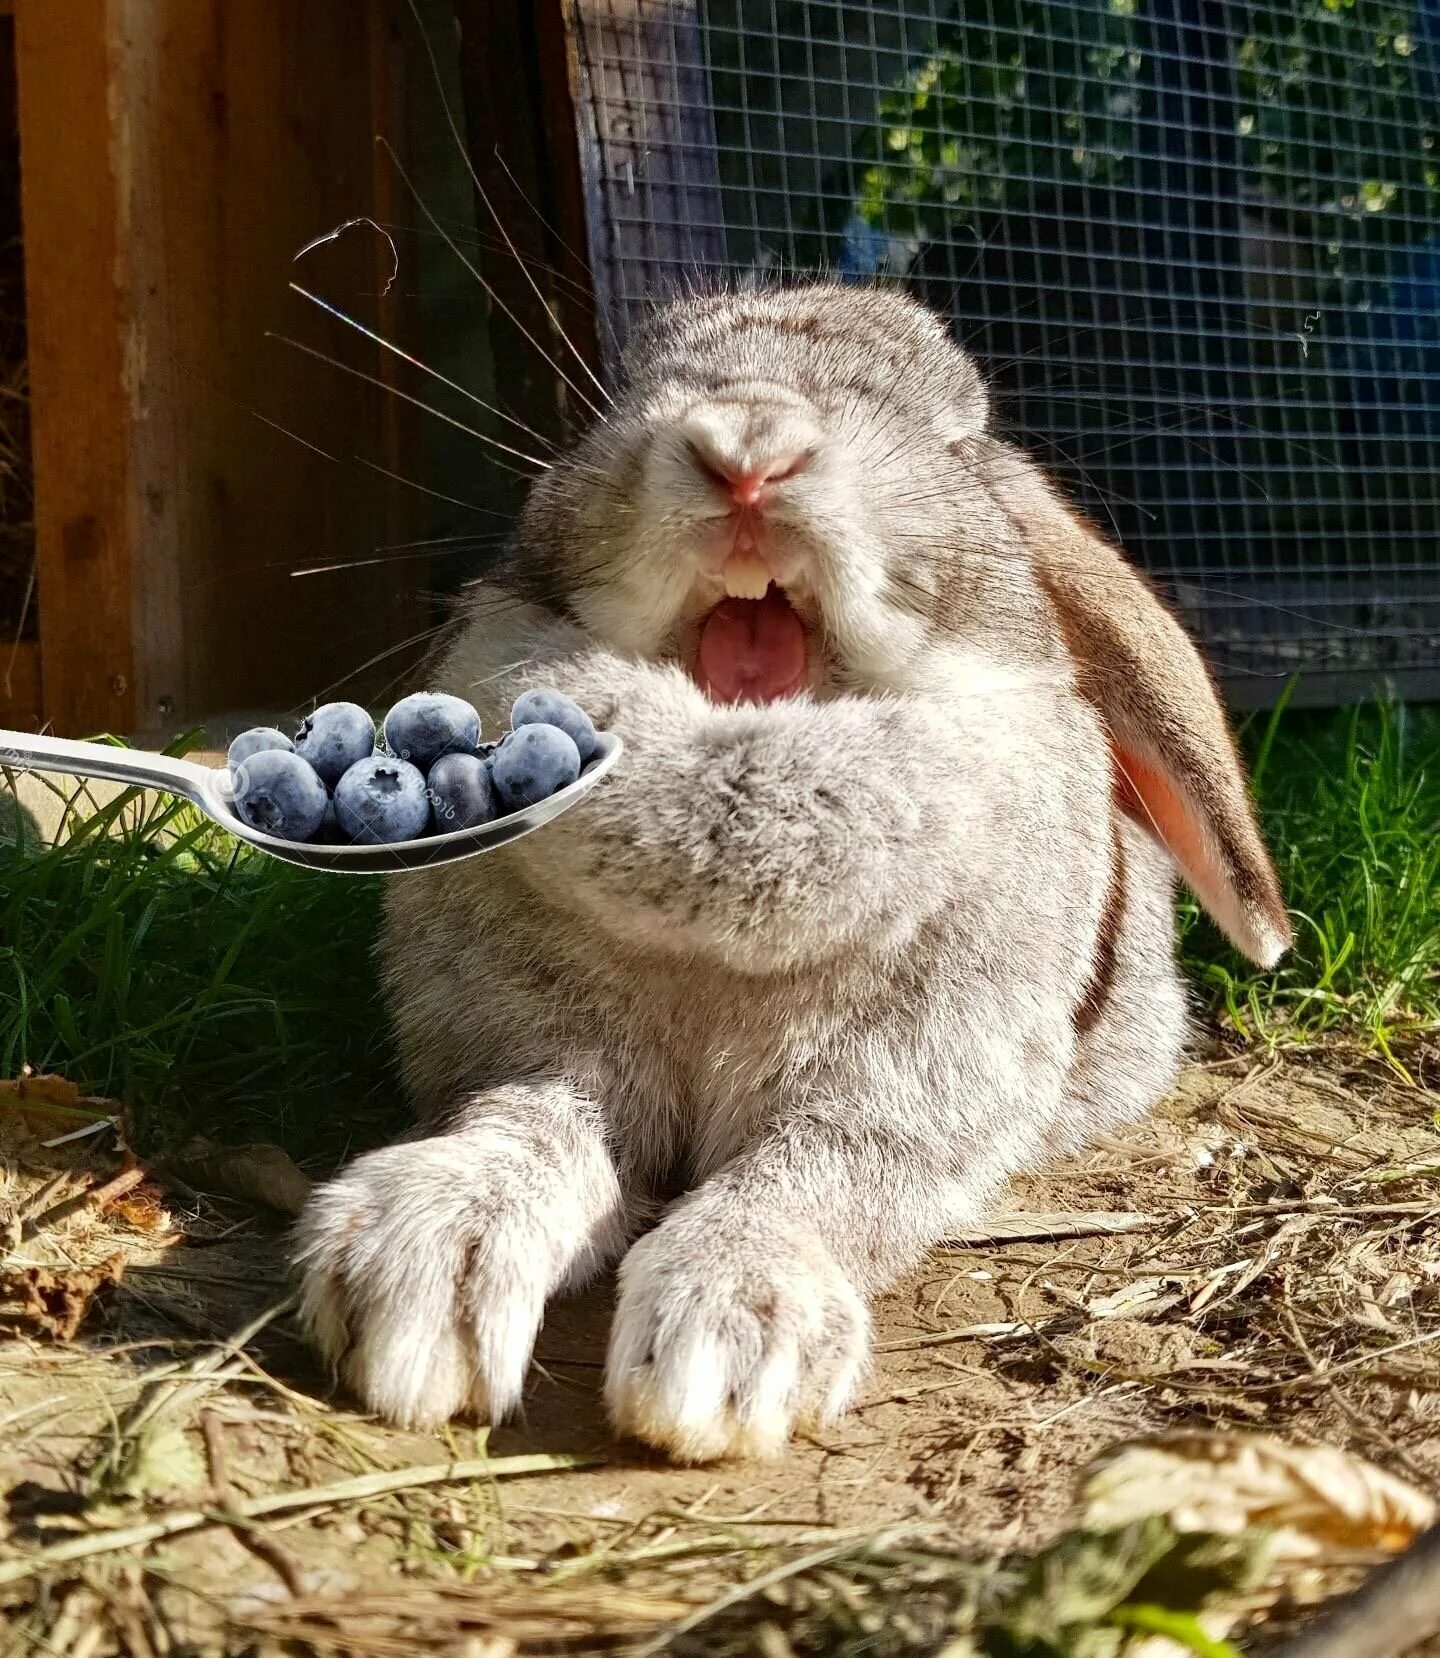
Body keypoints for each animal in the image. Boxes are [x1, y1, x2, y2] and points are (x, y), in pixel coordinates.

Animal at [294, 285, 1292, 1465]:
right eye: (628, 391)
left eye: (961, 432)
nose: (749, 445)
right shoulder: (539, 1043)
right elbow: (529, 1120)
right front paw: (416, 1272)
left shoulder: (904, 1091)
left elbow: (814, 1179)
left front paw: (725, 1347)